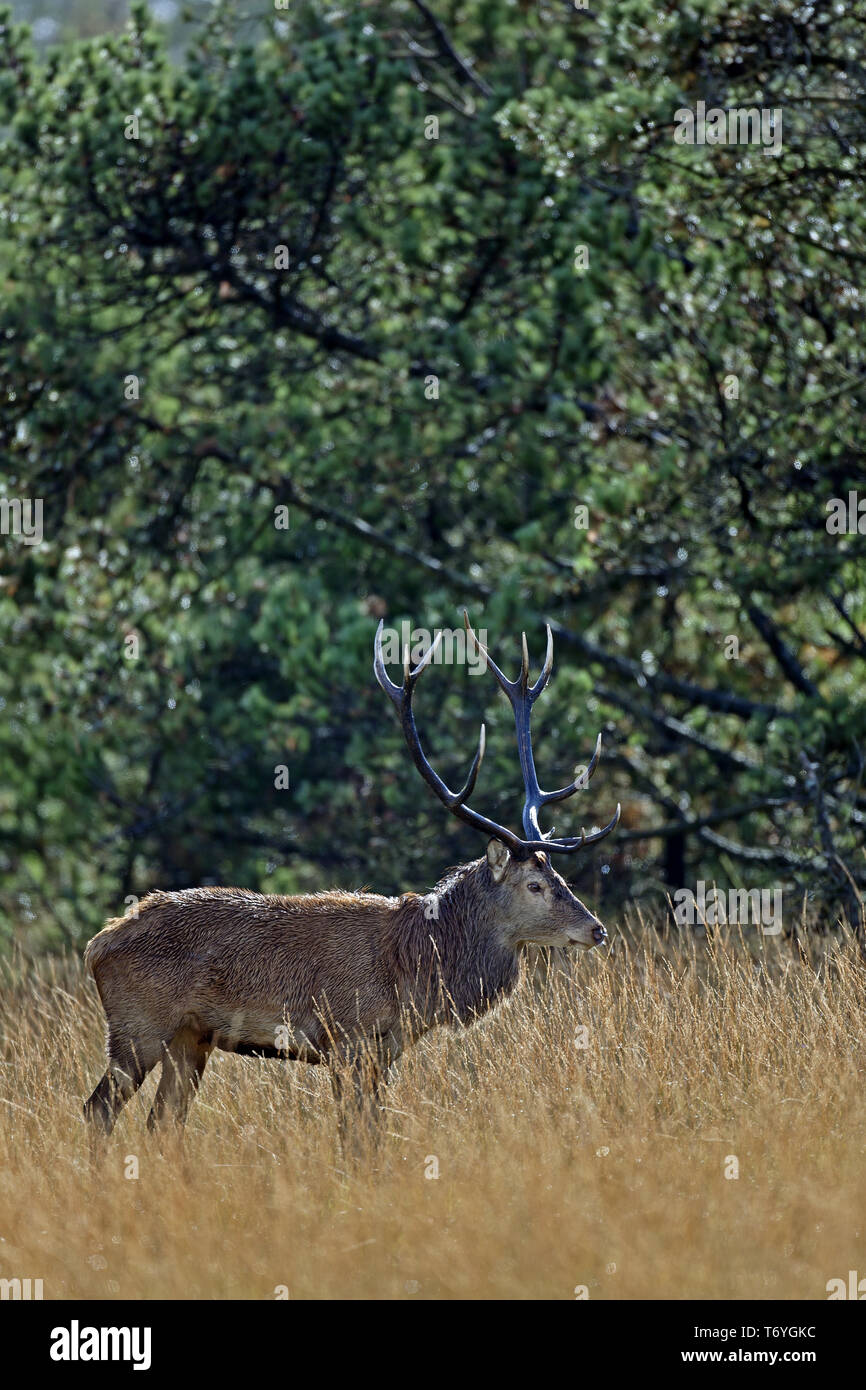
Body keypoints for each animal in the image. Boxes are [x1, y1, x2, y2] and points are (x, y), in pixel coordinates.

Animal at [83, 614, 620, 1142]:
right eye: (535, 885)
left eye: (561, 876)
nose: (597, 929)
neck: (417, 970)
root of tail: (97, 945)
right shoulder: (348, 1039)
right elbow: (355, 1137)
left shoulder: (384, 1050)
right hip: (138, 1026)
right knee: (98, 1110)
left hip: (190, 1037)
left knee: (161, 1123)